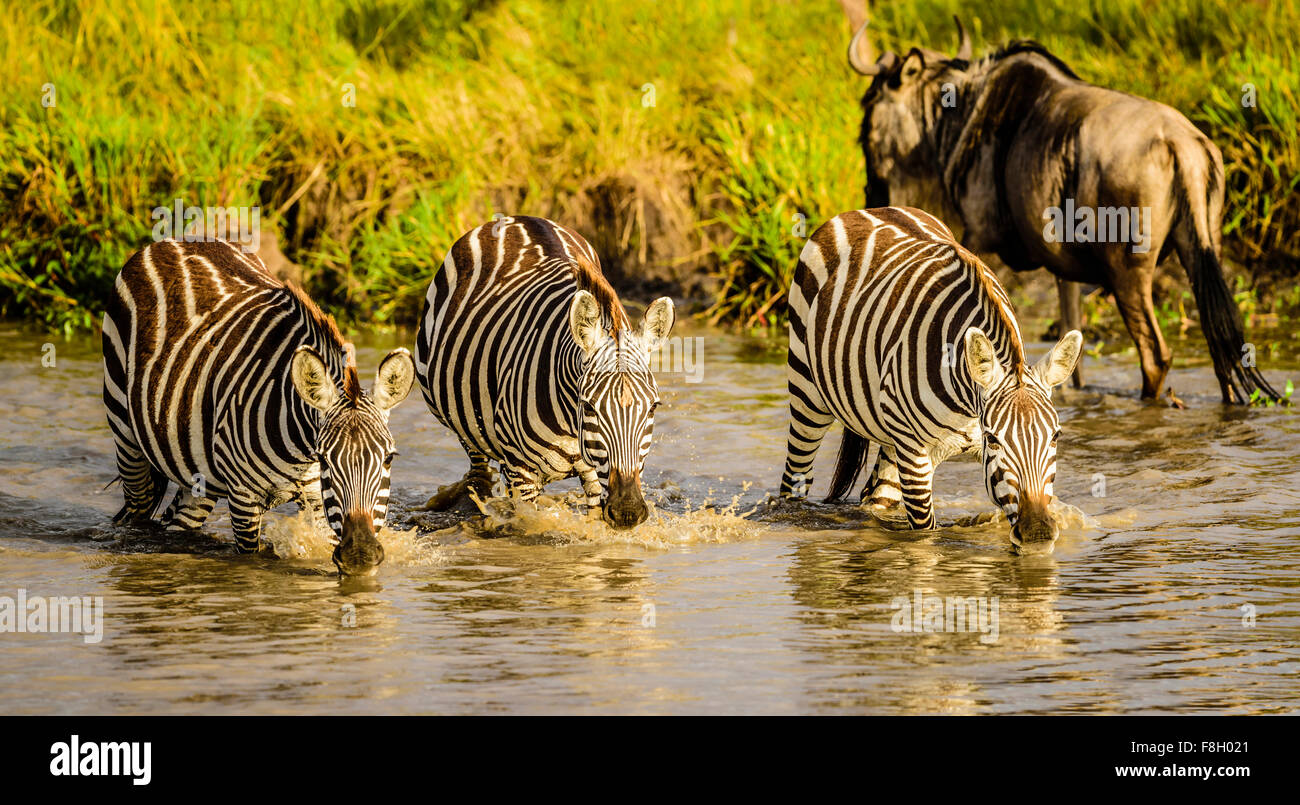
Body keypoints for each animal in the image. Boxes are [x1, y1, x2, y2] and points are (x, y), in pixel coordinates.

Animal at [102, 238, 416, 575]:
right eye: (325, 459)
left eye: (389, 459)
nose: (360, 555)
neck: (301, 449)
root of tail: (170, 241)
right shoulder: (243, 498)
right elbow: (250, 562)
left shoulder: (319, 501)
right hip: (125, 431)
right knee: (138, 509)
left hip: (198, 474)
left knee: (178, 522)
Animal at [414, 216, 675, 528]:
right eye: (589, 406)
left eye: (653, 407)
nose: (628, 511)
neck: (570, 425)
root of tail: (514, 219)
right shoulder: (520, 473)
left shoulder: (597, 476)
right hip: (459, 417)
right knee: (477, 468)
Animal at [778, 207, 1082, 553]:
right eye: (993, 439)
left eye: (1056, 436)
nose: (1037, 535)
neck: (967, 404)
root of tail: (870, 210)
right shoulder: (915, 455)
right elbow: (925, 538)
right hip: (807, 392)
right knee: (796, 479)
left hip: (890, 436)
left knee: (875, 498)